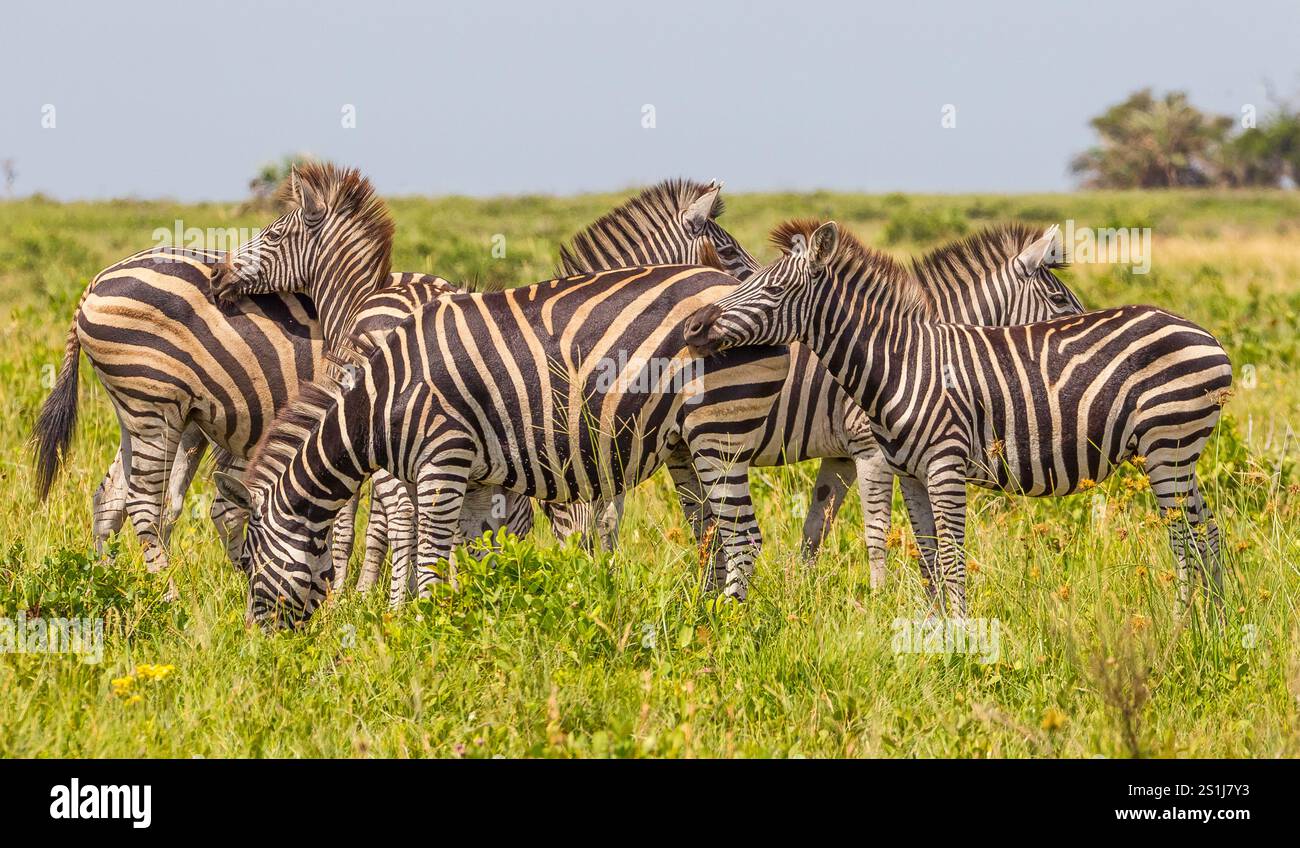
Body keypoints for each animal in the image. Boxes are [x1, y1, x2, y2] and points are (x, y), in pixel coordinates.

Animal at [683, 219, 1232, 617]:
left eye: (773, 292)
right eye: (1058, 299)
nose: (692, 326)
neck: (902, 361)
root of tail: (1208, 334)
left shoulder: (934, 463)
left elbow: (938, 551)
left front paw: (960, 635)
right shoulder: (907, 469)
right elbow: (927, 551)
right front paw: (935, 627)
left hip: (1167, 446)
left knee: (1185, 535)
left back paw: (1184, 623)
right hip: (1178, 454)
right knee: (1207, 529)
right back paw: (1216, 621)